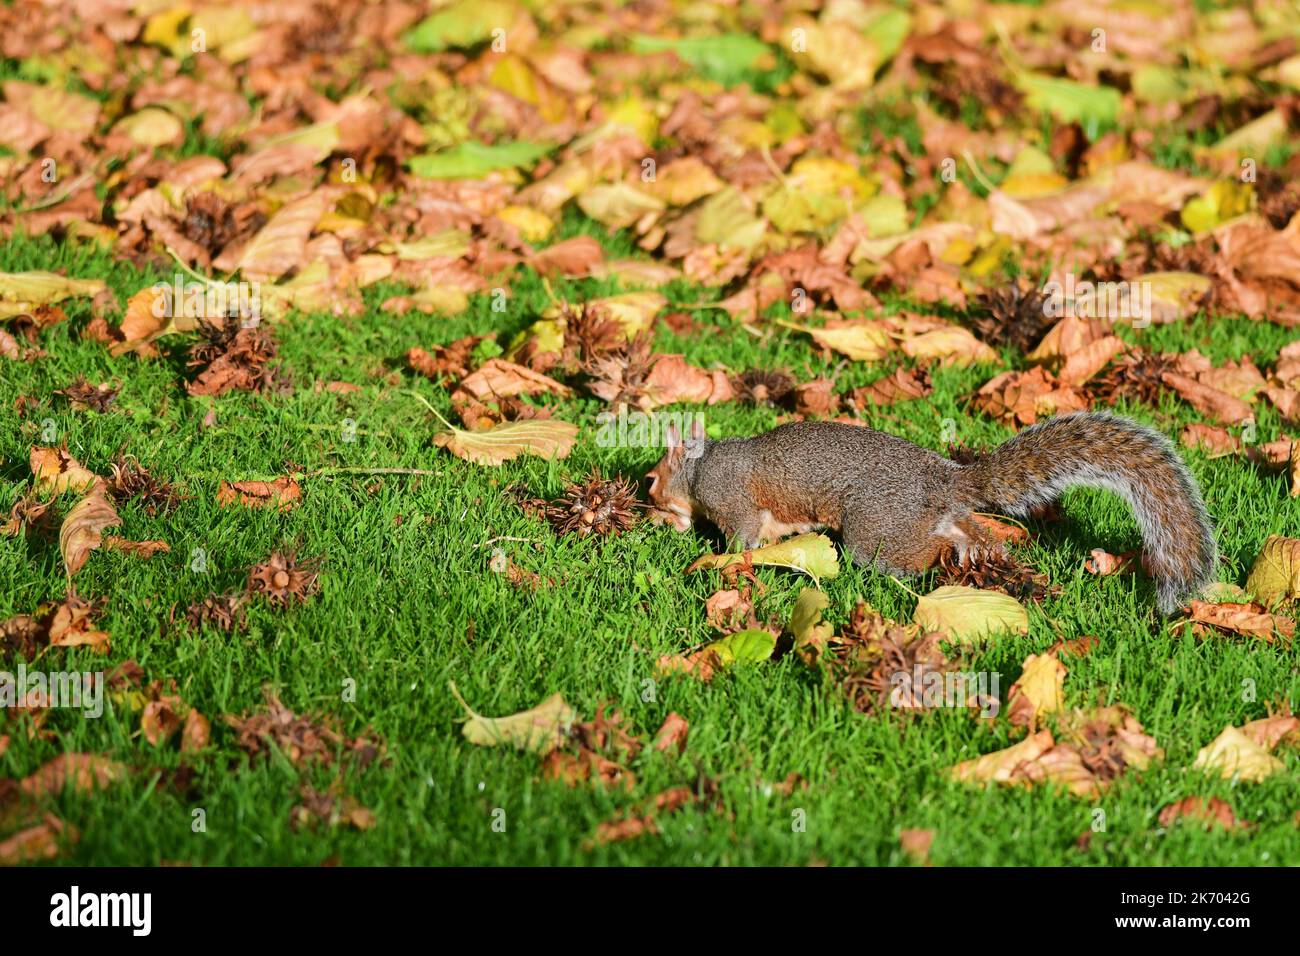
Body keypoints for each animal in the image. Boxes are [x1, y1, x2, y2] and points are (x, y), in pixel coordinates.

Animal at [646, 412, 1217, 614]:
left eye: (651, 479)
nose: (653, 512)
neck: (700, 468)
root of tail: (943, 482)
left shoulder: (733, 498)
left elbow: (744, 536)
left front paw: (723, 560)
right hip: (938, 519)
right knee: (967, 533)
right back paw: (985, 553)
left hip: (876, 531)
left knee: (911, 556)